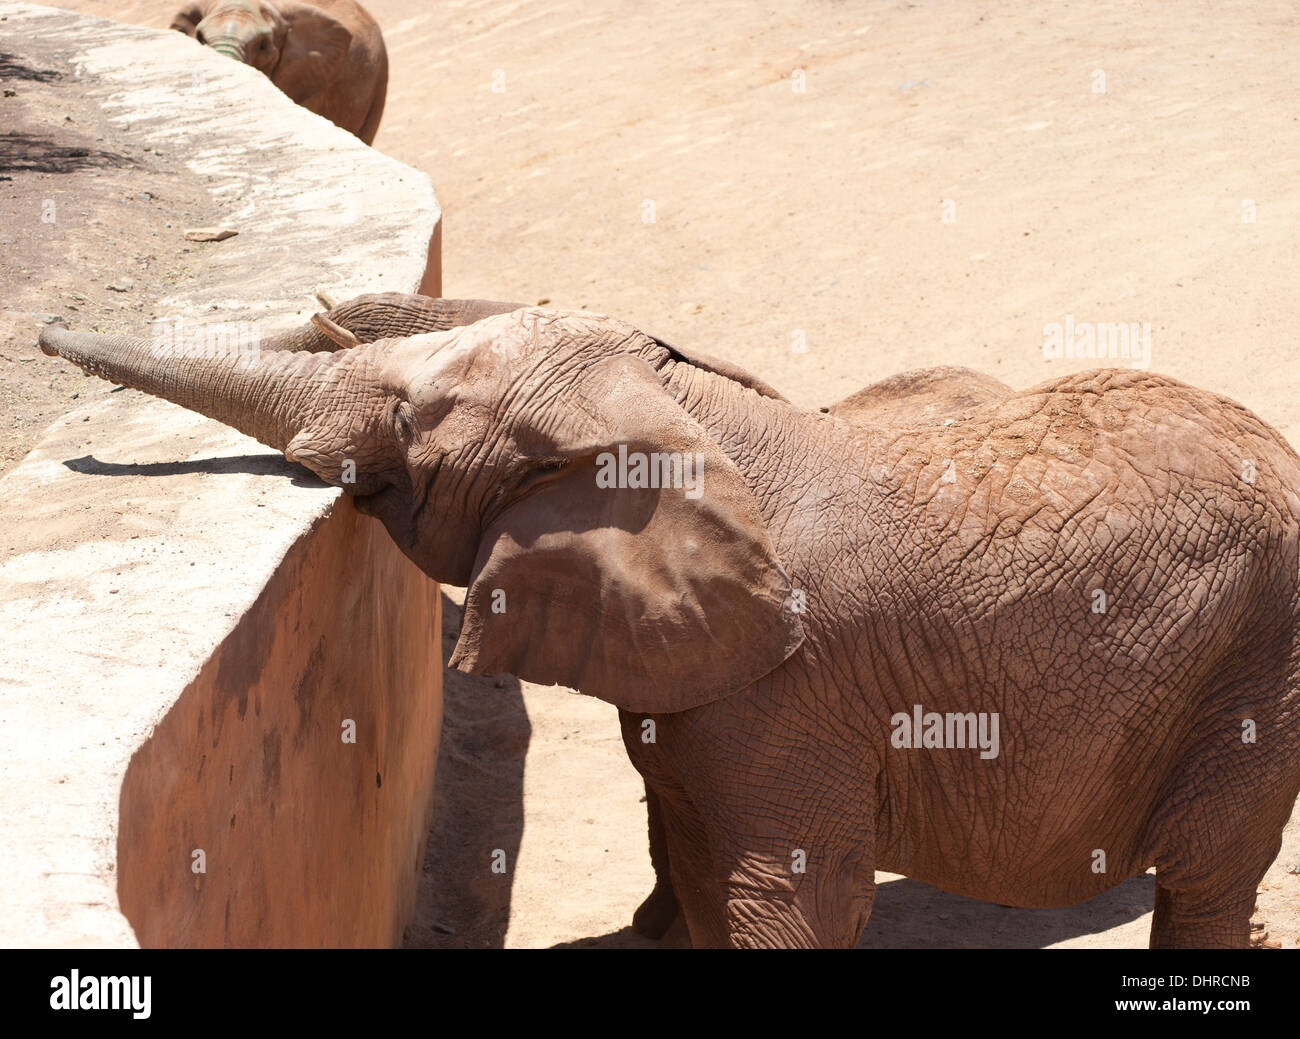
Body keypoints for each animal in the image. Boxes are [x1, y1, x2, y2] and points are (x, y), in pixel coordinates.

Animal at [39, 296, 1300, 948]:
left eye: (408, 423)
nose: (49, 330)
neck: (687, 417)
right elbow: (690, 858)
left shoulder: (795, 689)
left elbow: (787, 900)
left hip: (1257, 666)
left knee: (1206, 873)